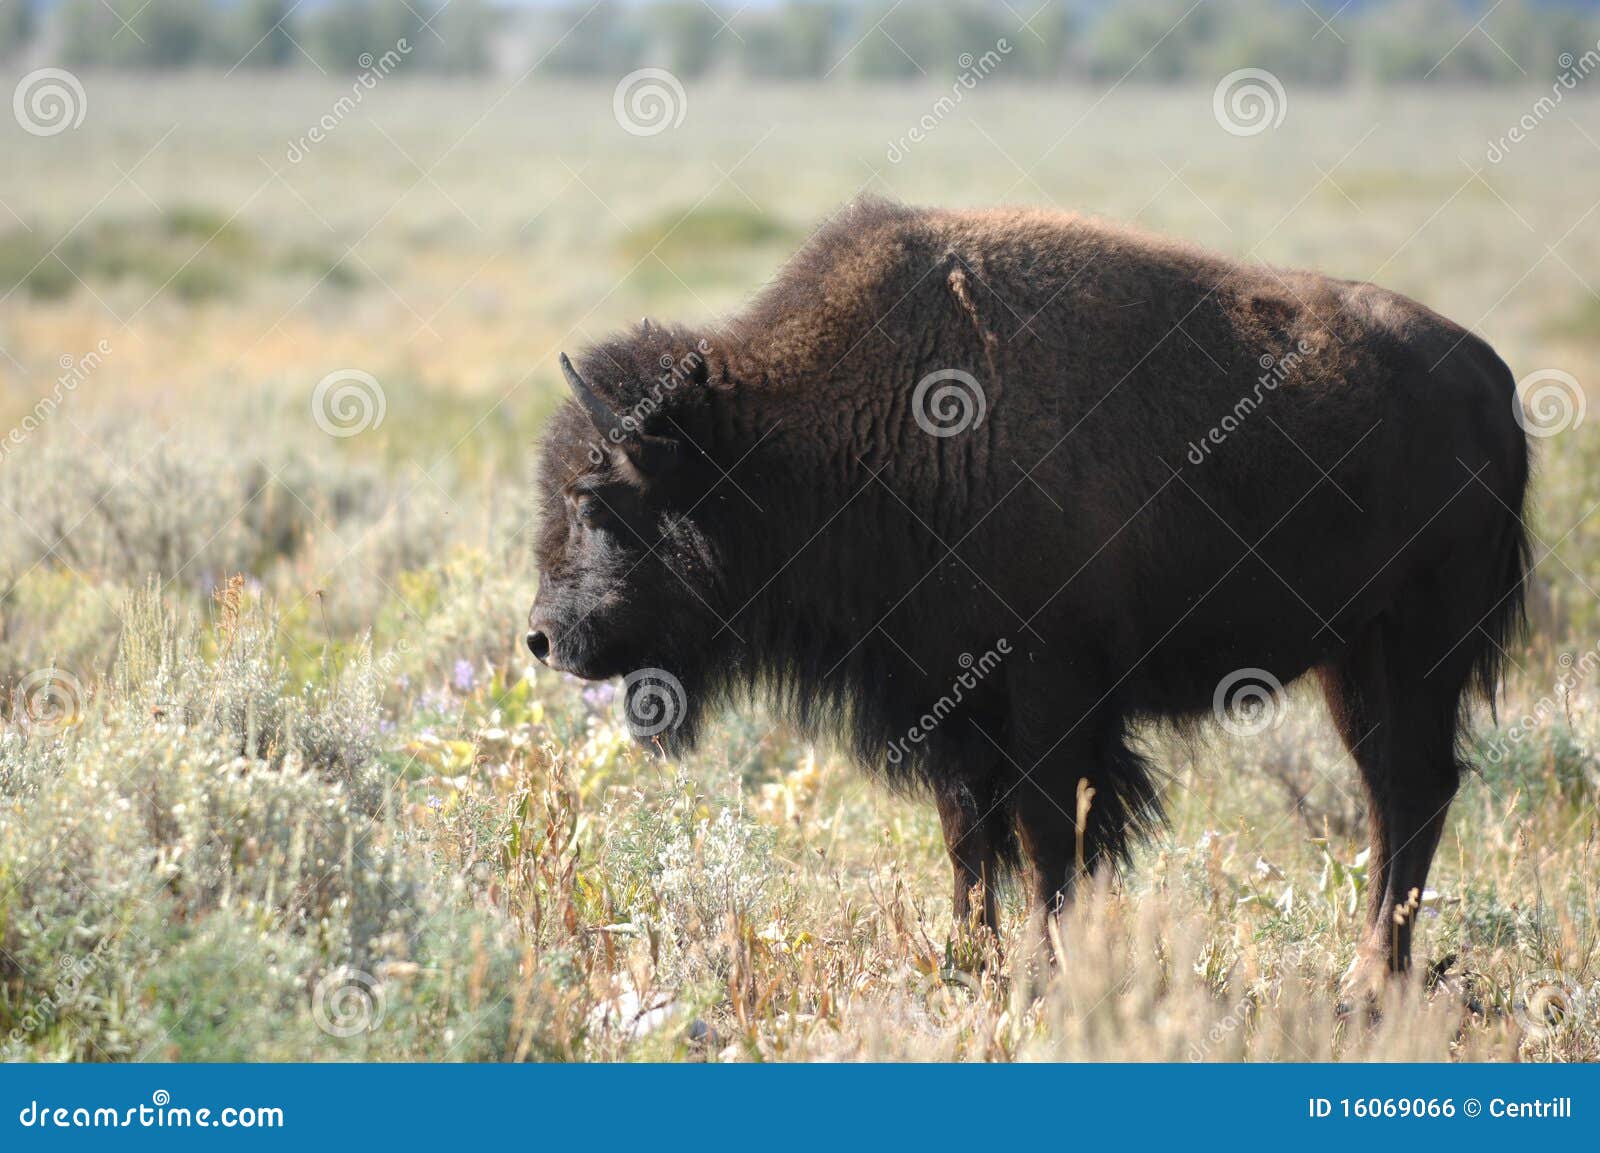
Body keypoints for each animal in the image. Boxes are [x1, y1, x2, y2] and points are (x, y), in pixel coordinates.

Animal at [528, 198, 1530, 989]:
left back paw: (1369, 982)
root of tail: (1493, 380)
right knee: (1396, 794)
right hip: (1355, 659)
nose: (543, 635)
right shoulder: (949, 697)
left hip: (1414, 650)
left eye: (597, 499)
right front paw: (967, 959)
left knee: (1410, 790)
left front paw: (1046, 970)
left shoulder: (1052, 689)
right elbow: (968, 833)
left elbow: (1049, 831)